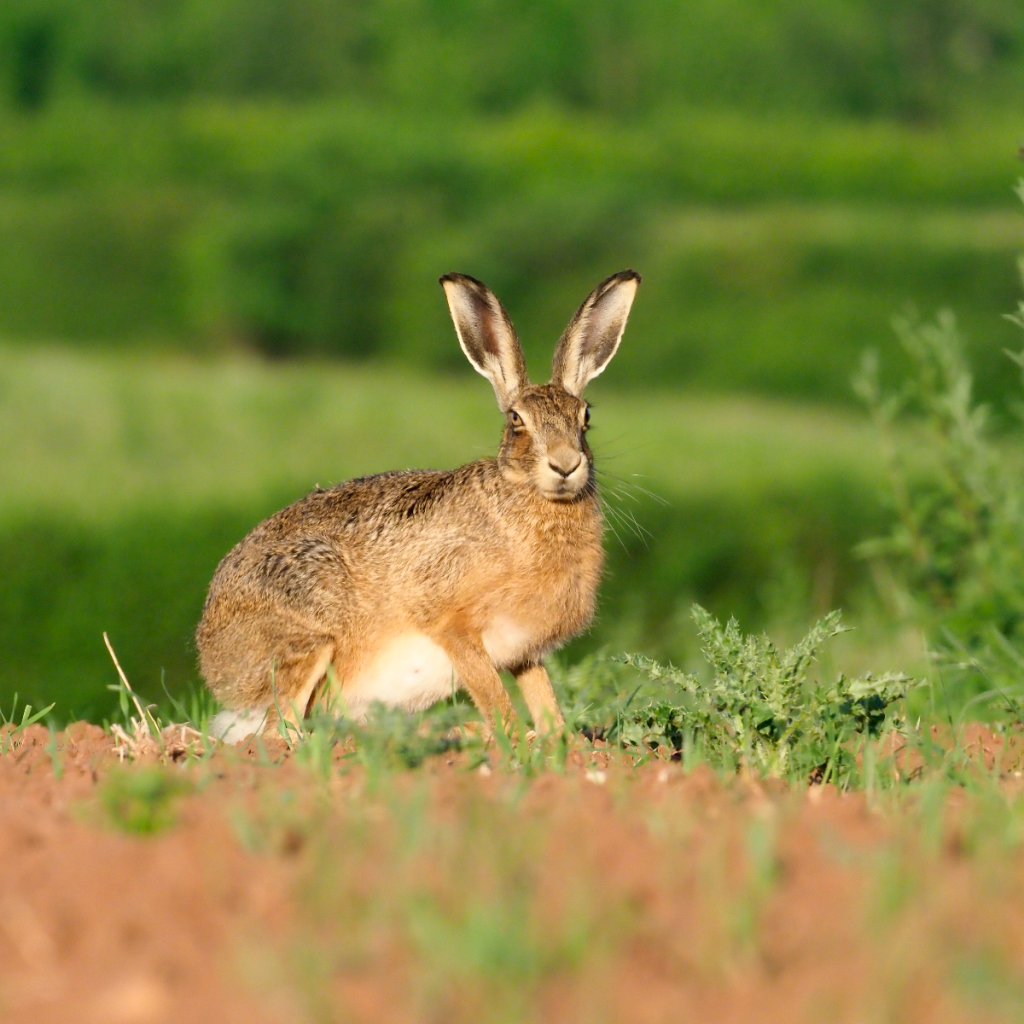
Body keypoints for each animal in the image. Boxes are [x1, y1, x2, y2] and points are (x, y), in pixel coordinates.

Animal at [196, 269, 640, 739]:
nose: (566, 464)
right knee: (281, 731)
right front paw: (514, 738)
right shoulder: (452, 625)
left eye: (586, 417)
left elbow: (542, 697)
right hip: (309, 634)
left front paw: (558, 739)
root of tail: (214, 660)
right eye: (516, 420)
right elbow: (495, 699)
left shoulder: (524, 650)